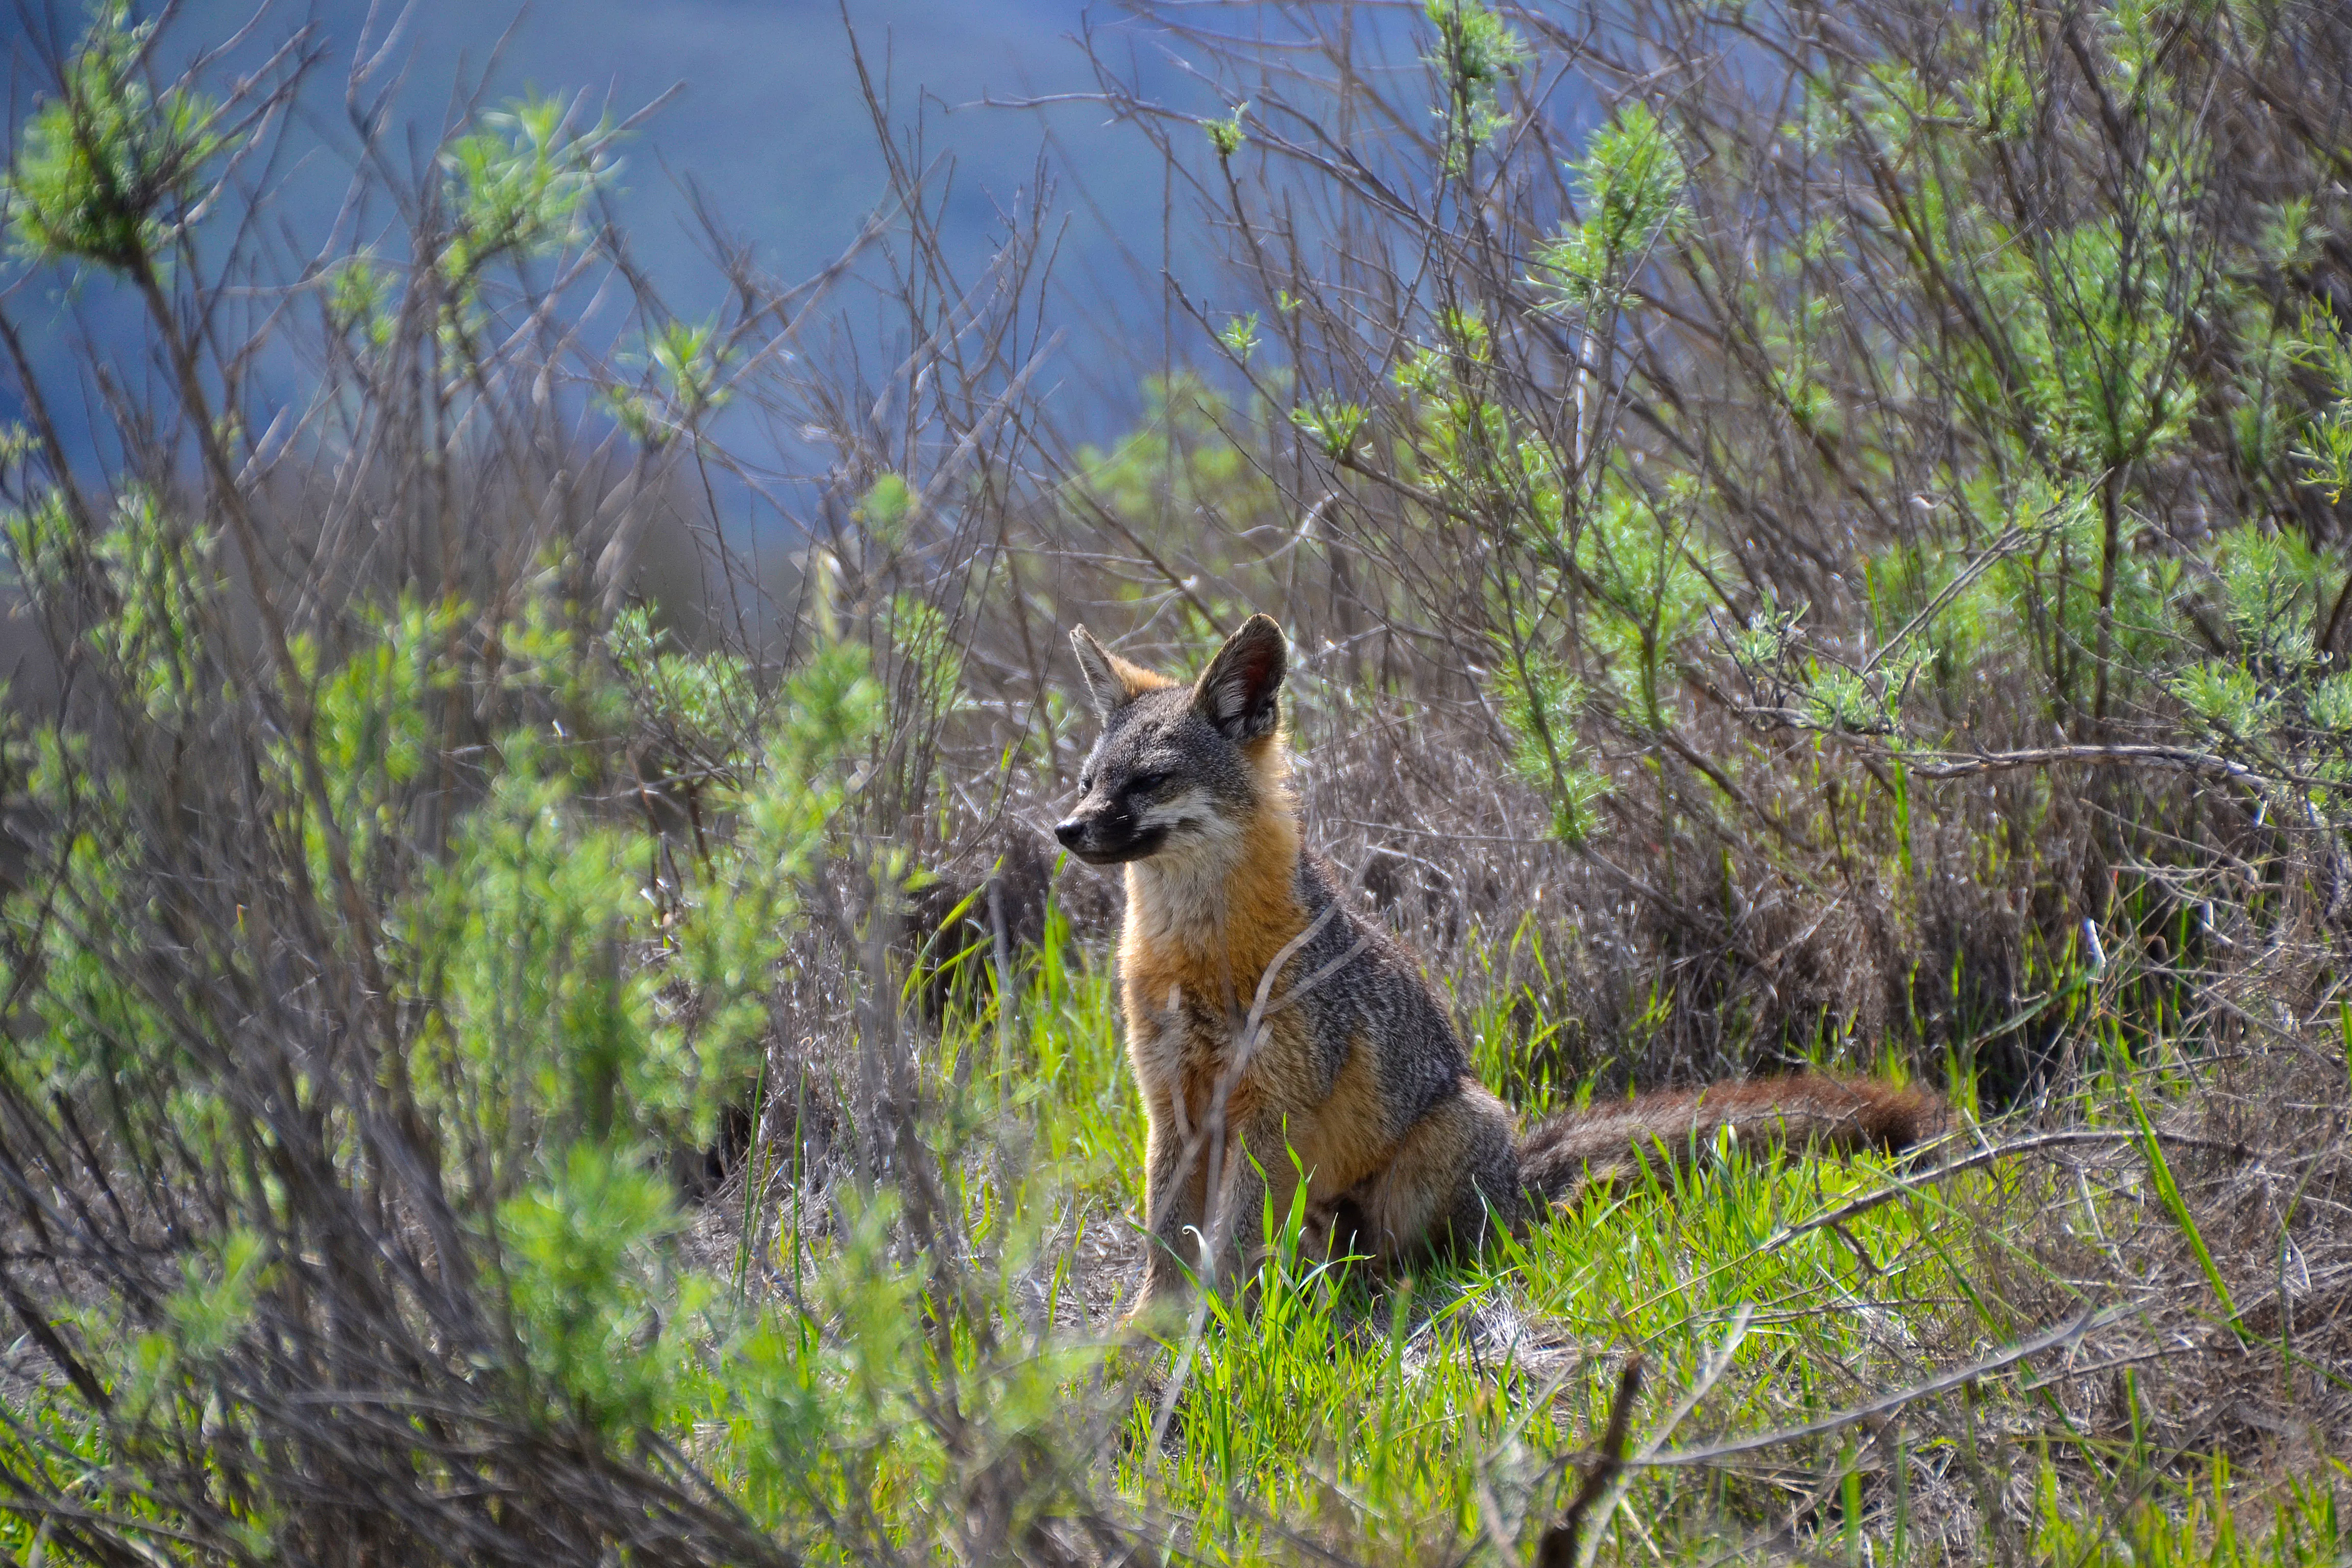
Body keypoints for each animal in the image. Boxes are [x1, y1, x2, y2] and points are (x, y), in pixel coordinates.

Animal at [1054, 613, 1943, 1314]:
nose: (1066, 829)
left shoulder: (1268, 1113)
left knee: (1419, 1260)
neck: (1197, 956)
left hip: (1436, 1153)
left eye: (1150, 781)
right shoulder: (1172, 1106)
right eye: (1089, 781)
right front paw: (1145, 1332)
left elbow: (1229, 1250)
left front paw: (1208, 1337)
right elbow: (1165, 1245)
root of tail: (1518, 1174)